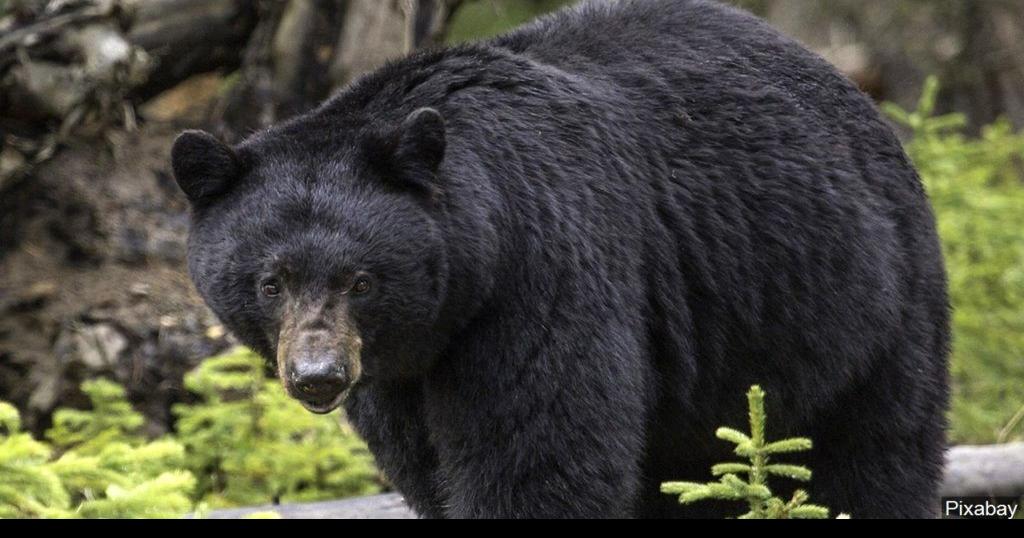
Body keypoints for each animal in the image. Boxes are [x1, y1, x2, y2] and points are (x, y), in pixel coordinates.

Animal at [170, 0, 950, 519]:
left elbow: (538, 454)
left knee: (871, 456)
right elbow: (427, 468)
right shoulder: (397, 376)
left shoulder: (541, 276)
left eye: (361, 279)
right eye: (271, 281)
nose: (318, 375)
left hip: (859, 308)